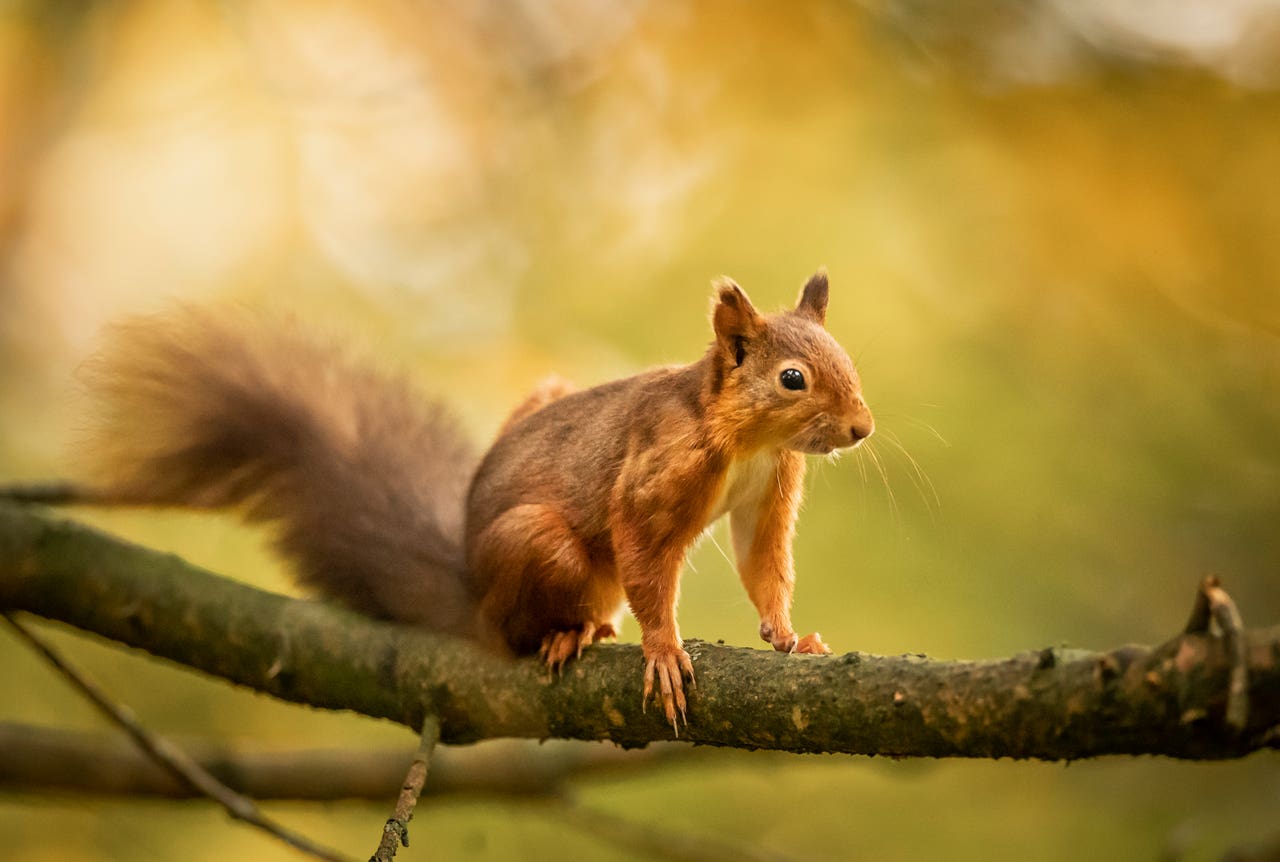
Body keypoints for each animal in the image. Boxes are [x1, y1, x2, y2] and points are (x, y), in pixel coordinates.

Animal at [61, 270, 874, 727]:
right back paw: (566, 633)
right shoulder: (654, 476)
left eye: (848, 360)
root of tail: (471, 593)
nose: (862, 429)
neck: (747, 441)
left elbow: (763, 563)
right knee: (523, 621)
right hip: (536, 546)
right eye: (792, 379)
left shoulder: (770, 489)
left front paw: (788, 637)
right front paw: (666, 649)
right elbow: (645, 556)